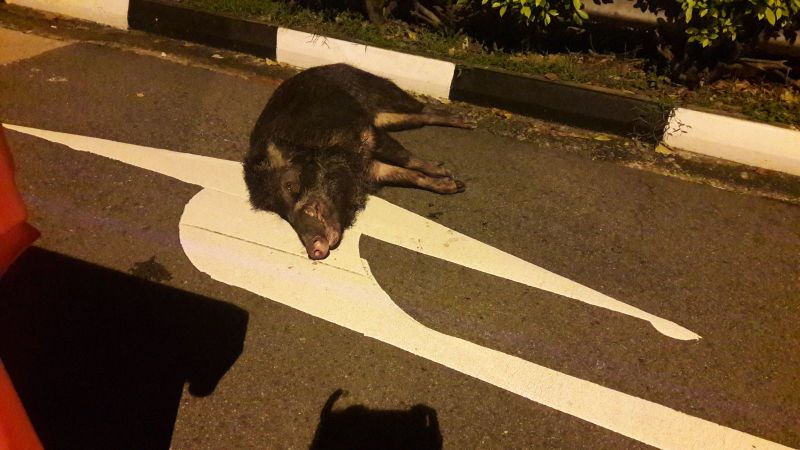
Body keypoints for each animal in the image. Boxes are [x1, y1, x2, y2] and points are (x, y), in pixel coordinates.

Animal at [244, 63, 474, 260]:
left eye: (290, 185)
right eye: (278, 210)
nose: (313, 250)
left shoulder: (369, 134)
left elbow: (408, 159)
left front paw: (447, 173)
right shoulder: (370, 168)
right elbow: (409, 175)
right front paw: (454, 186)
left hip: (383, 92)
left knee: (422, 110)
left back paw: (468, 122)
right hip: (385, 117)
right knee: (419, 118)